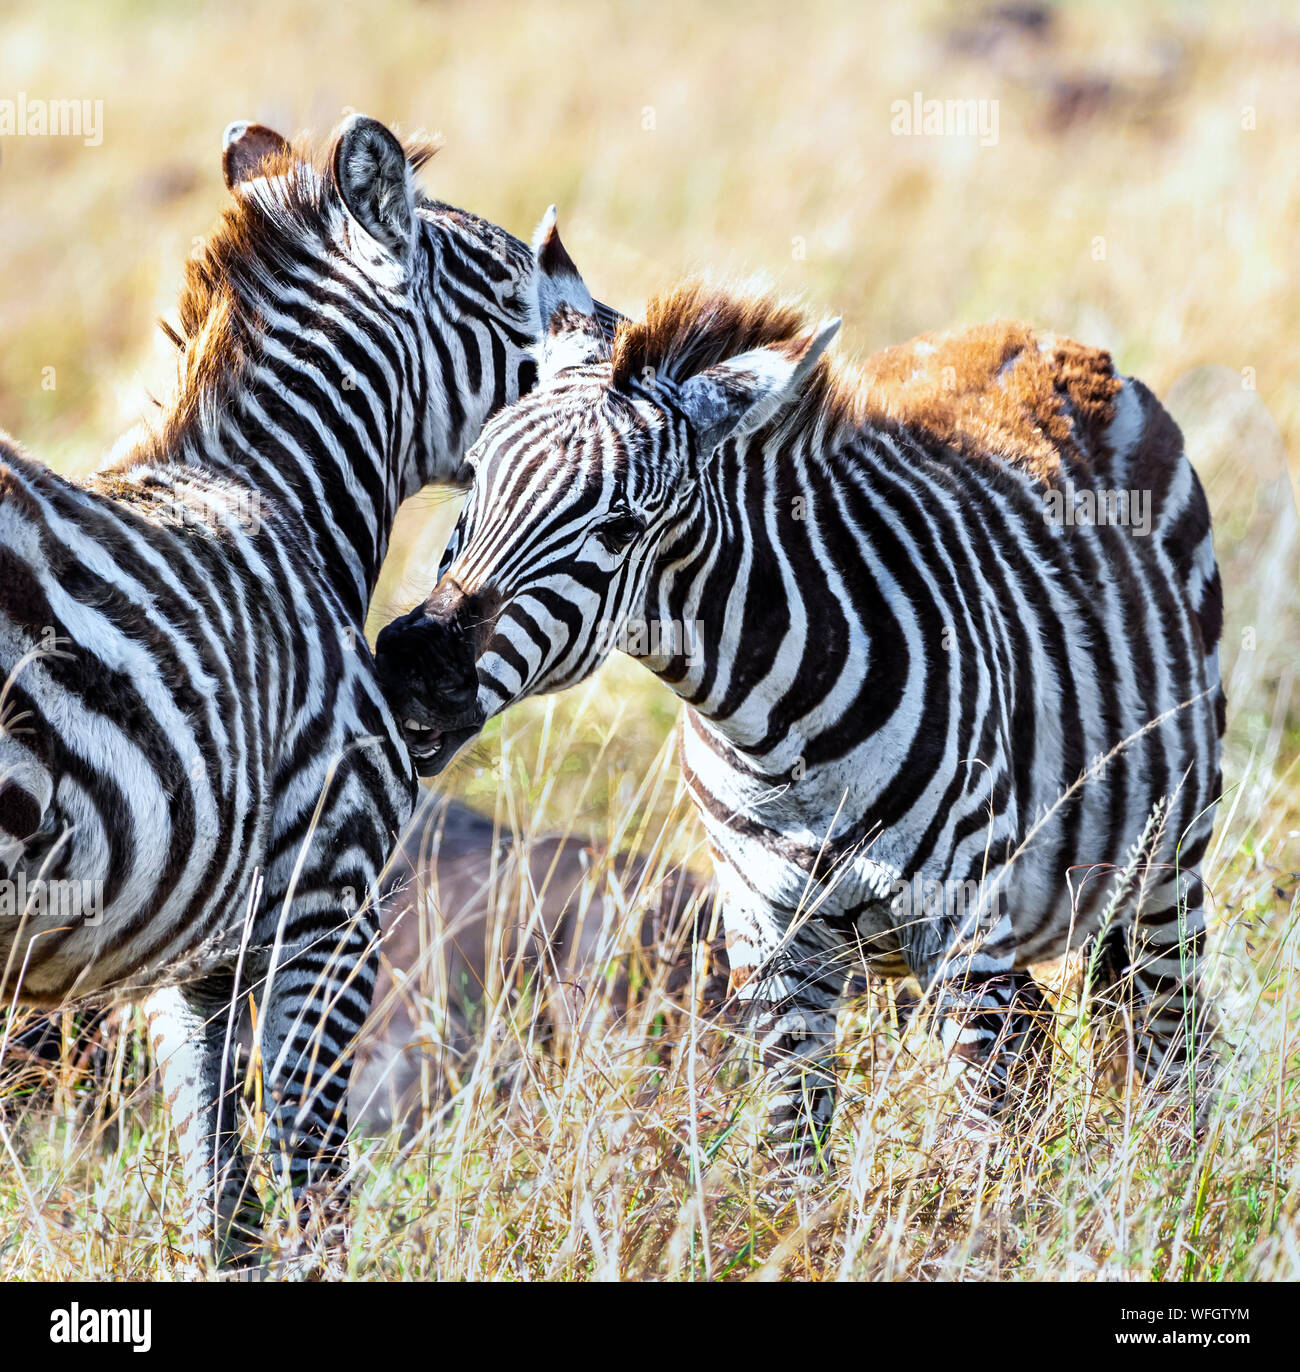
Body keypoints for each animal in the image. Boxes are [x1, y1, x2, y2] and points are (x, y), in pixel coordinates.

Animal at [0, 113, 588, 1267]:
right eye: (525, 294)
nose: (635, 363)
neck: (288, 502)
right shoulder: (331, 907)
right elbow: (317, 1193)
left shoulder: (195, 969)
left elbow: (220, 1206)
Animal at [375, 231, 1225, 1158]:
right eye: (473, 478)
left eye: (620, 528)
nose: (413, 666)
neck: (777, 740)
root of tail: (1040, 338)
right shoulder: (769, 942)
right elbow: (793, 1149)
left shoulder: (960, 927)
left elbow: (984, 1141)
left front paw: (981, 1203)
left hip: (1163, 863)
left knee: (1174, 1041)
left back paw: (1179, 1178)